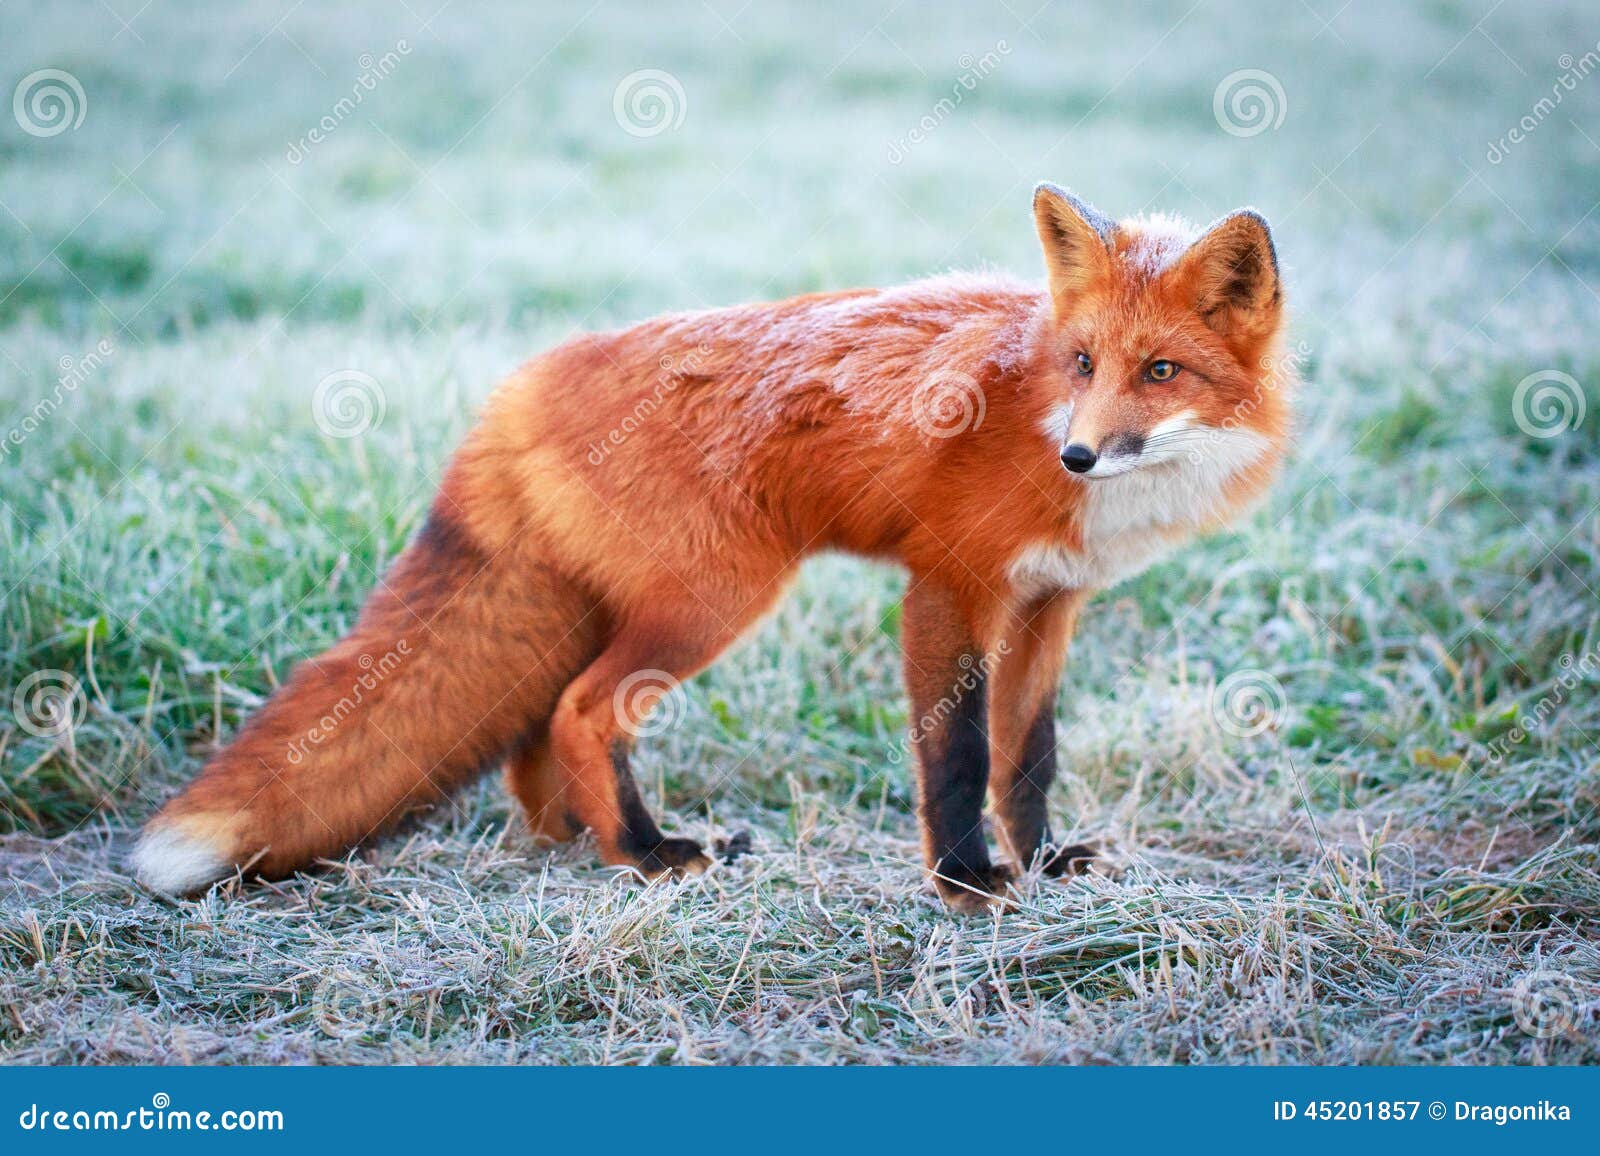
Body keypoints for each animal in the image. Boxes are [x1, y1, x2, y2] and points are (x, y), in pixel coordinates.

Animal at [131, 184, 1290, 912]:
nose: (1079, 454)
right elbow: (957, 758)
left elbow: (1029, 757)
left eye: (1160, 372)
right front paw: (965, 885)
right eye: (1084, 361)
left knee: (531, 735)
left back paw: (582, 843)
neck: (1033, 403)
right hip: (710, 603)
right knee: (578, 712)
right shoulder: (947, 588)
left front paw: (1043, 863)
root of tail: (521, 383)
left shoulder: (1050, 603)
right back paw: (649, 856)